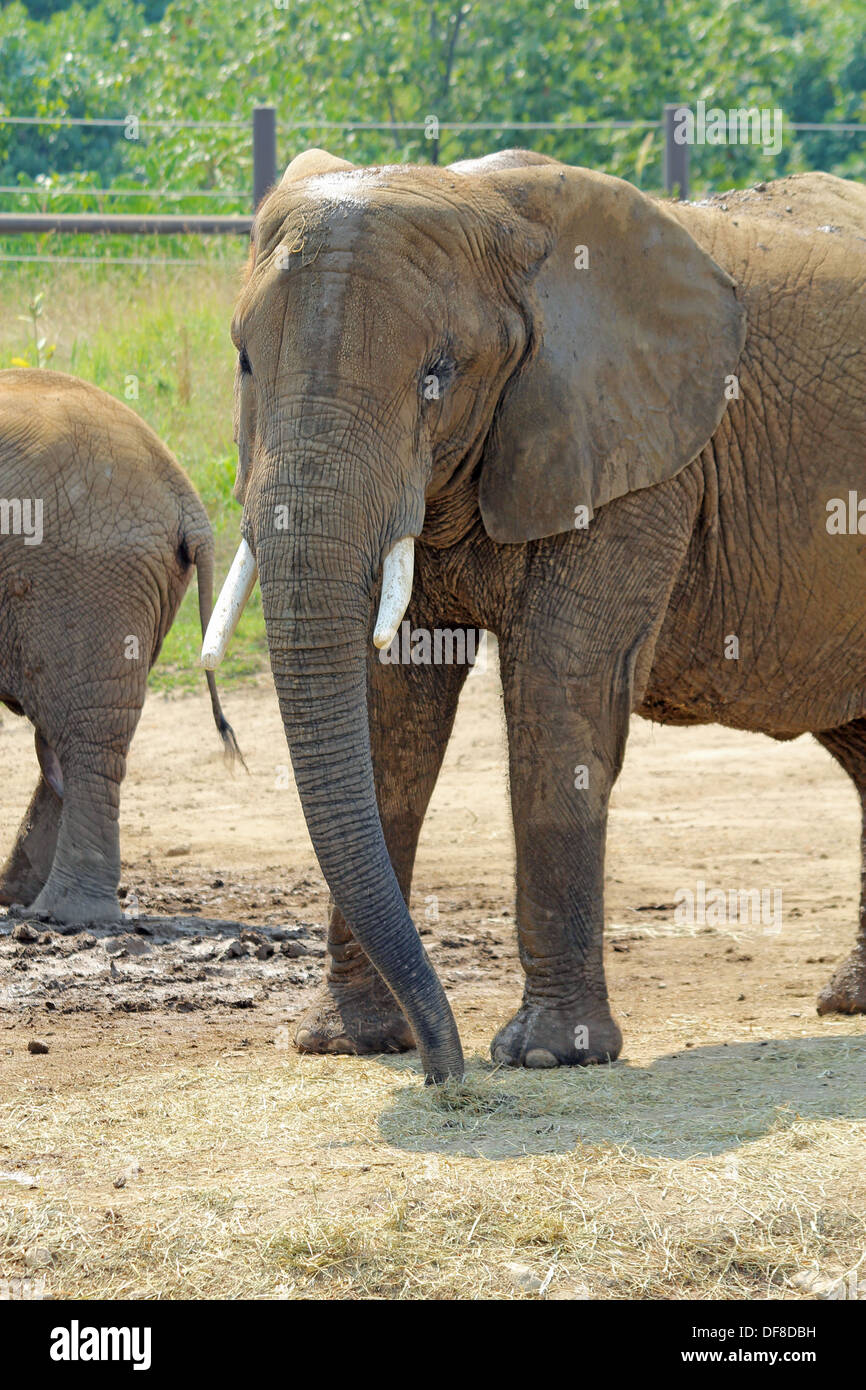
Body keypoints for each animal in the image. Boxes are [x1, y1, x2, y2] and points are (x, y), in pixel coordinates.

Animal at [0, 368, 240, 926]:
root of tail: (184, 497)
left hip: (84, 581)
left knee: (86, 739)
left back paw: (64, 914)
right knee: (67, 743)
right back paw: (19, 897)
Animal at [206, 149, 866, 1081]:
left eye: (438, 374)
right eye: (243, 362)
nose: (444, 1073)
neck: (486, 204)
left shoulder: (640, 461)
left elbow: (561, 694)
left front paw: (551, 1054)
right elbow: (388, 713)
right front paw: (345, 1043)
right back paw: (852, 999)